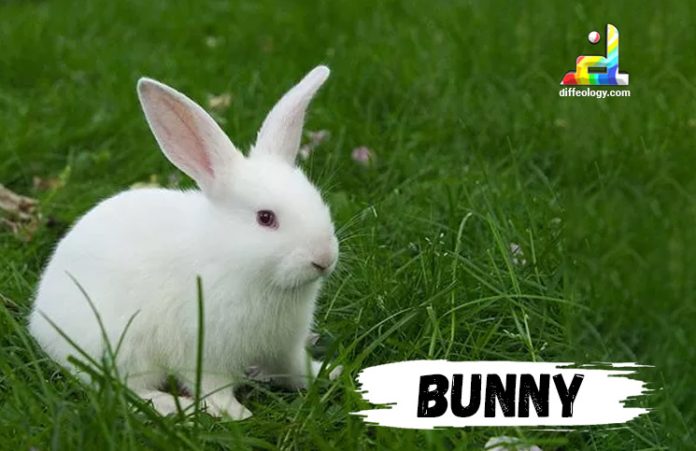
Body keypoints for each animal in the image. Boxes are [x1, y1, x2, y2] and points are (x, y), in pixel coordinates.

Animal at [28, 65, 341, 420]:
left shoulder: (285, 346)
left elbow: (297, 369)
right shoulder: (205, 353)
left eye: (318, 200)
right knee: (122, 390)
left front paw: (331, 373)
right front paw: (237, 414)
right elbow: (213, 388)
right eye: (265, 218)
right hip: (123, 350)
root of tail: (39, 320)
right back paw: (173, 406)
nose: (324, 258)